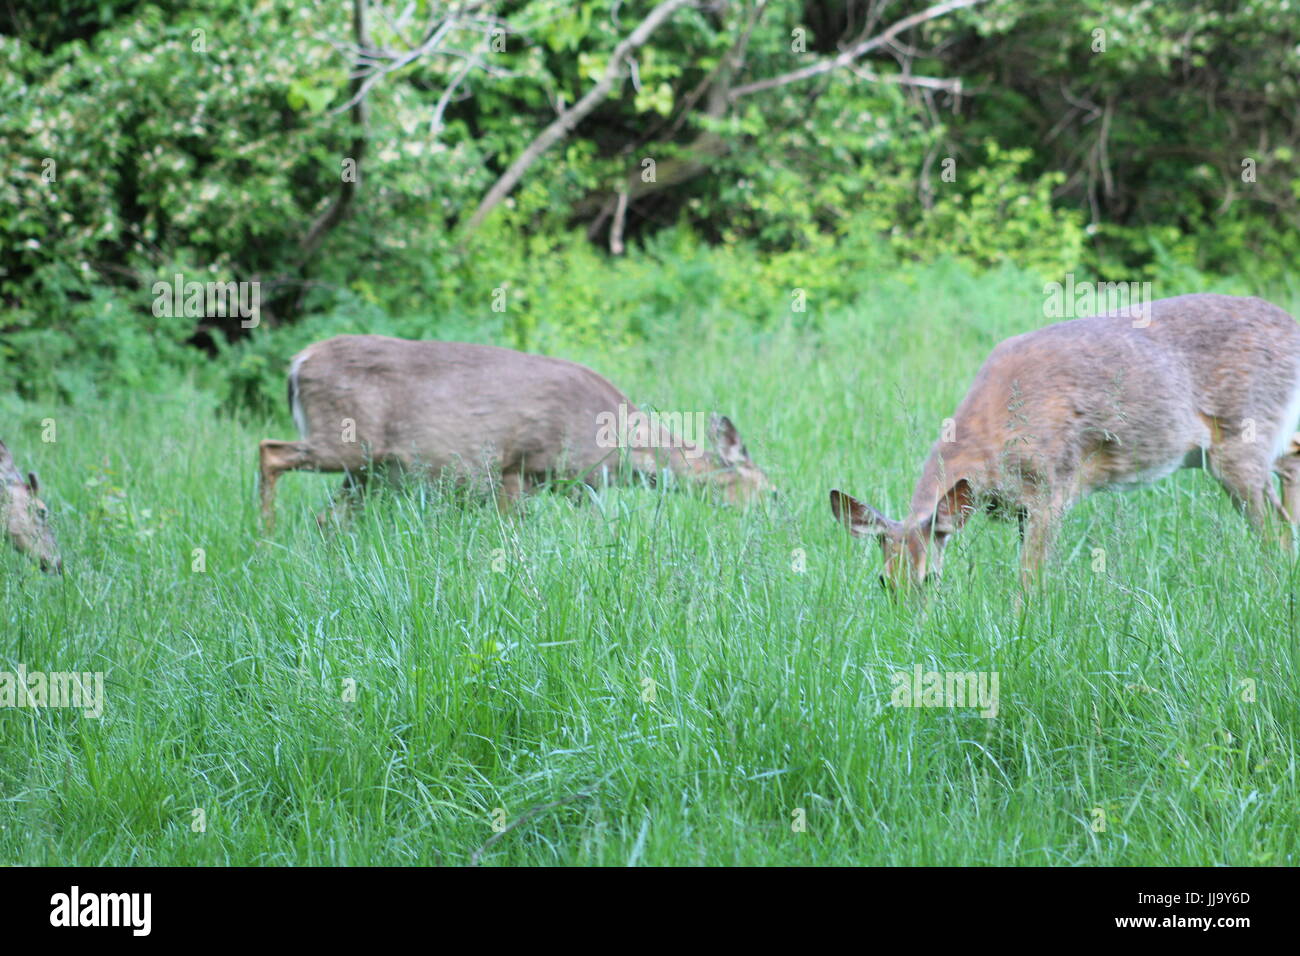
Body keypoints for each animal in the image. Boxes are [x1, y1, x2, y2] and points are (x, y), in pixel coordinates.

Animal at [258, 335, 774, 529]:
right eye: (770, 491)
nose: (779, 520)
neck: (624, 444)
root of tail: (298, 363)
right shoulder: (528, 467)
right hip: (345, 443)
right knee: (270, 451)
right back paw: (266, 538)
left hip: (370, 471)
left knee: (326, 517)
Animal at [830, 293, 1300, 596]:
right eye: (884, 581)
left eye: (930, 578)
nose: (908, 623)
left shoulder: (1051, 489)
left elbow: (1030, 577)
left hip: (1242, 435)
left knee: (1276, 532)